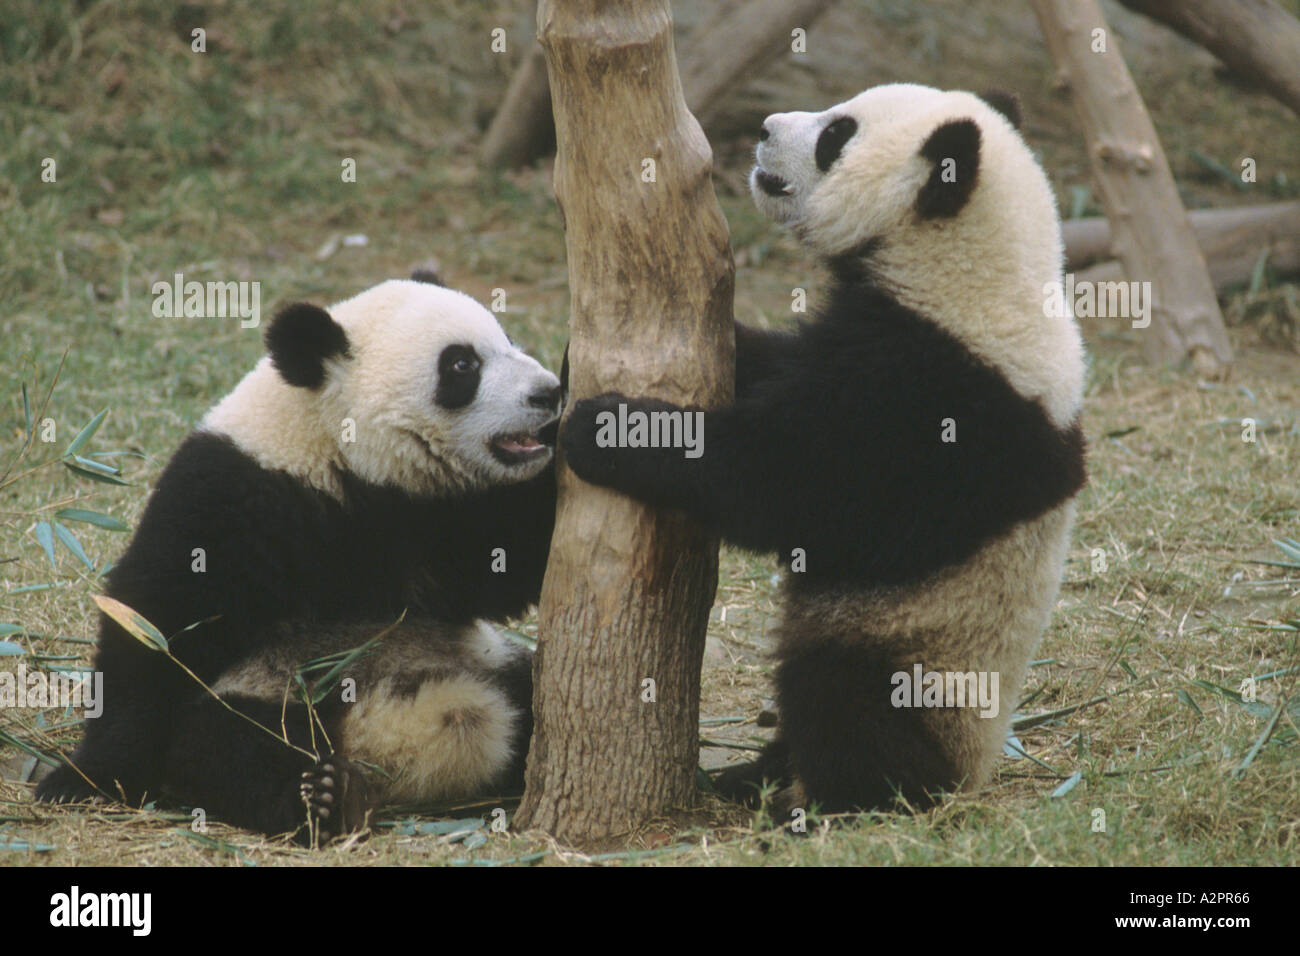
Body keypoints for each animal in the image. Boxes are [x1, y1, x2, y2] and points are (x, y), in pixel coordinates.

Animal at [36, 274, 562, 841]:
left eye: (508, 337)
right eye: (462, 365)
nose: (547, 392)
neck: (332, 448)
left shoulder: (432, 515)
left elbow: (511, 564)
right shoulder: (235, 492)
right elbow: (155, 620)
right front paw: (86, 778)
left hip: (485, 661)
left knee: (527, 693)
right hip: (277, 690)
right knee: (228, 744)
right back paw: (324, 796)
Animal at [561, 84, 1087, 817]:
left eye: (836, 135)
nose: (764, 128)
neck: (970, 267)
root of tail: (974, 773)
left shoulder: (941, 397)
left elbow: (789, 487)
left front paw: (609, 429)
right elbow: (774, 368)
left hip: (923, 649)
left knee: (843, 696)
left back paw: (832, 798)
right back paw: (754, 777)